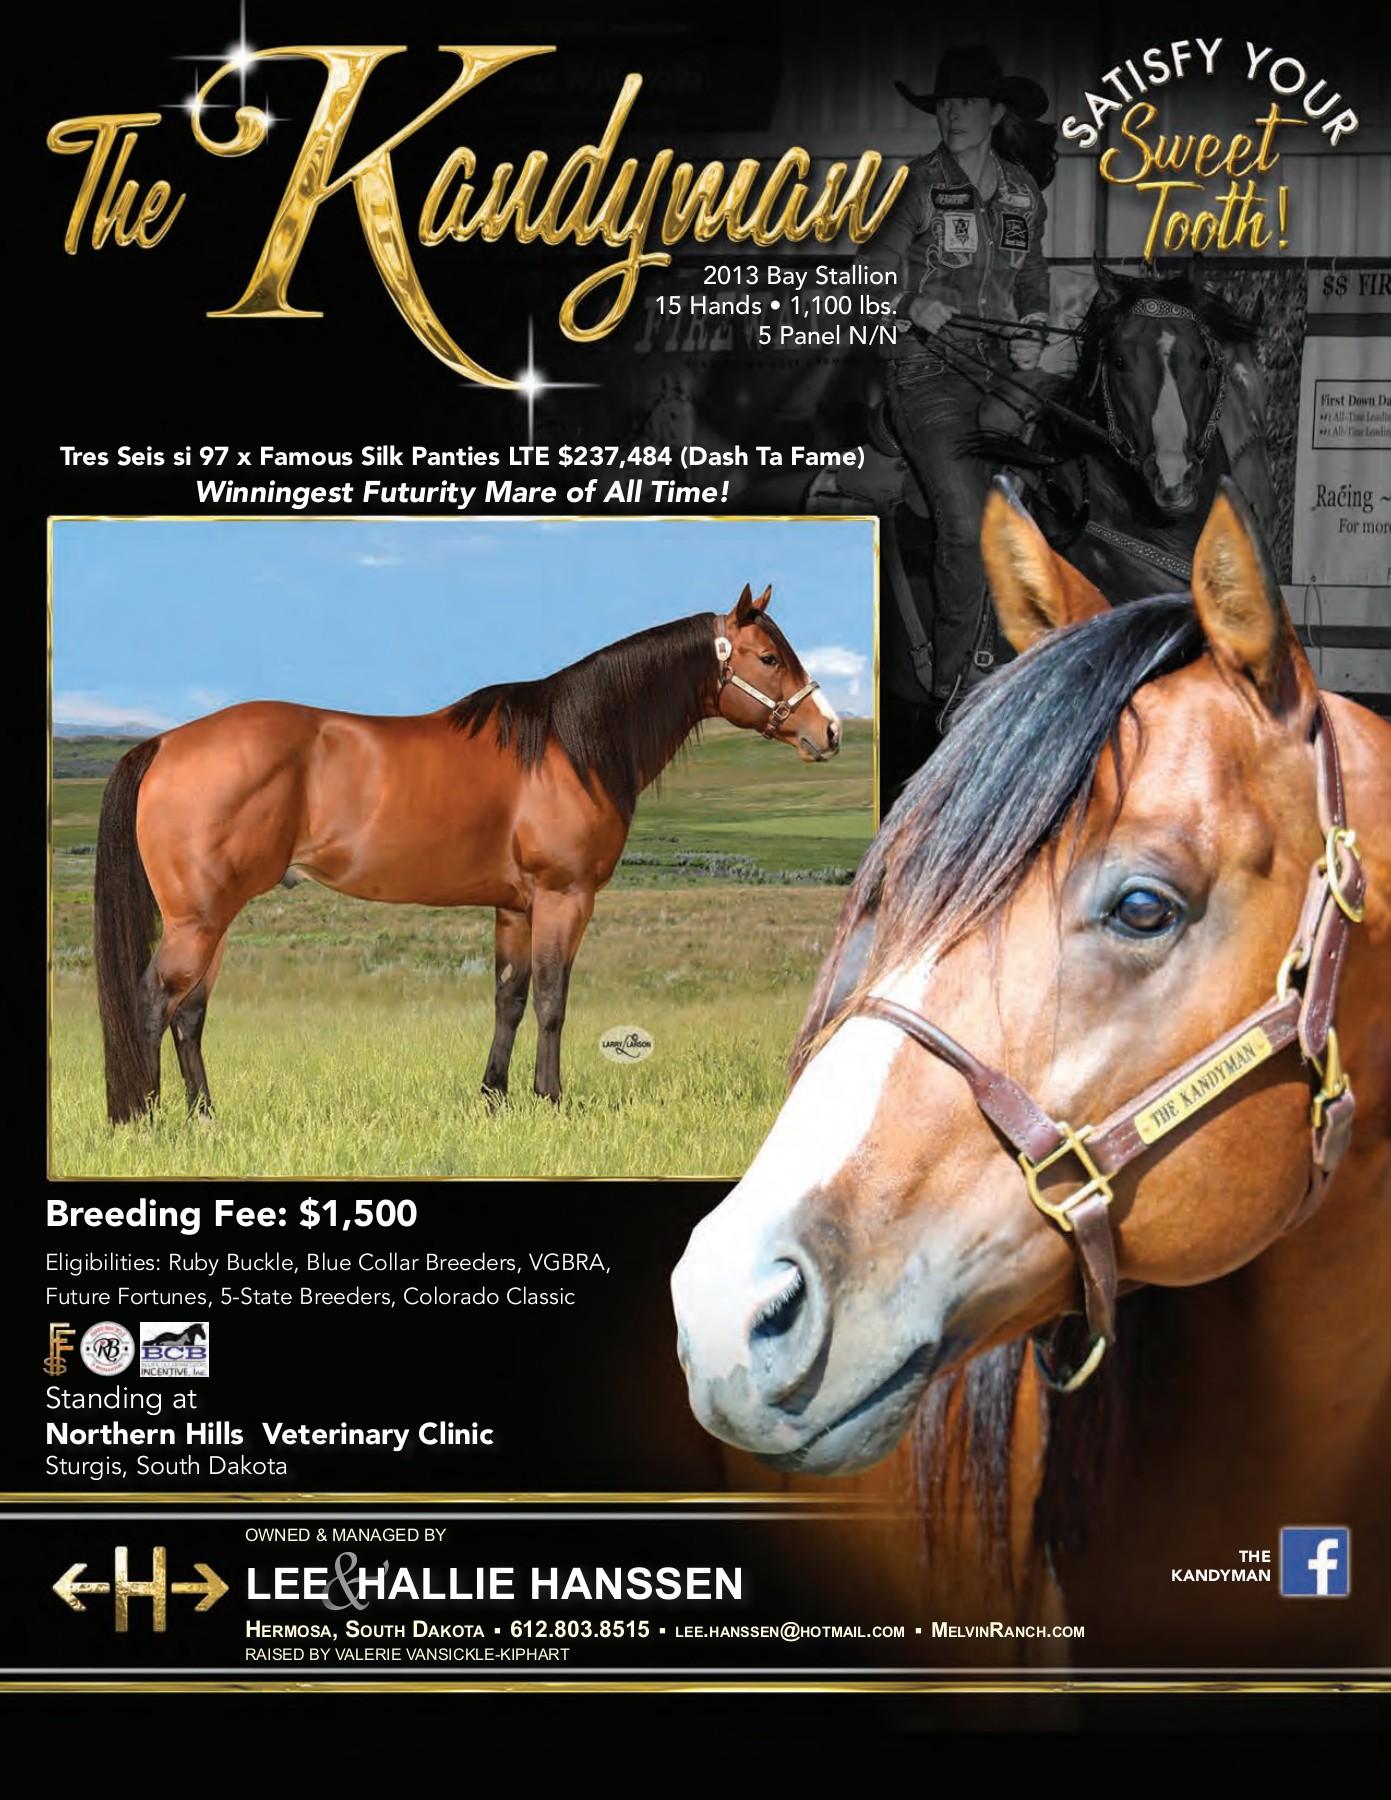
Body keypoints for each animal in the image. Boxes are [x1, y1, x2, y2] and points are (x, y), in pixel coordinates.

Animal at [94, 586, 840, 1124]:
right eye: (769, 659)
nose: (828, 731)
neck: (570, 747)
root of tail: (165, 744)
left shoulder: (514, 908)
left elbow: (508, 998)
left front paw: (494, 1098)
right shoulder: (563, 897)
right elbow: (552, 999)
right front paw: (551, 1100)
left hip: (216, 919)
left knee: (189, 1014)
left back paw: (206, 1117)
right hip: (198, 921)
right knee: (152, 1002)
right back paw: (151, 1120)